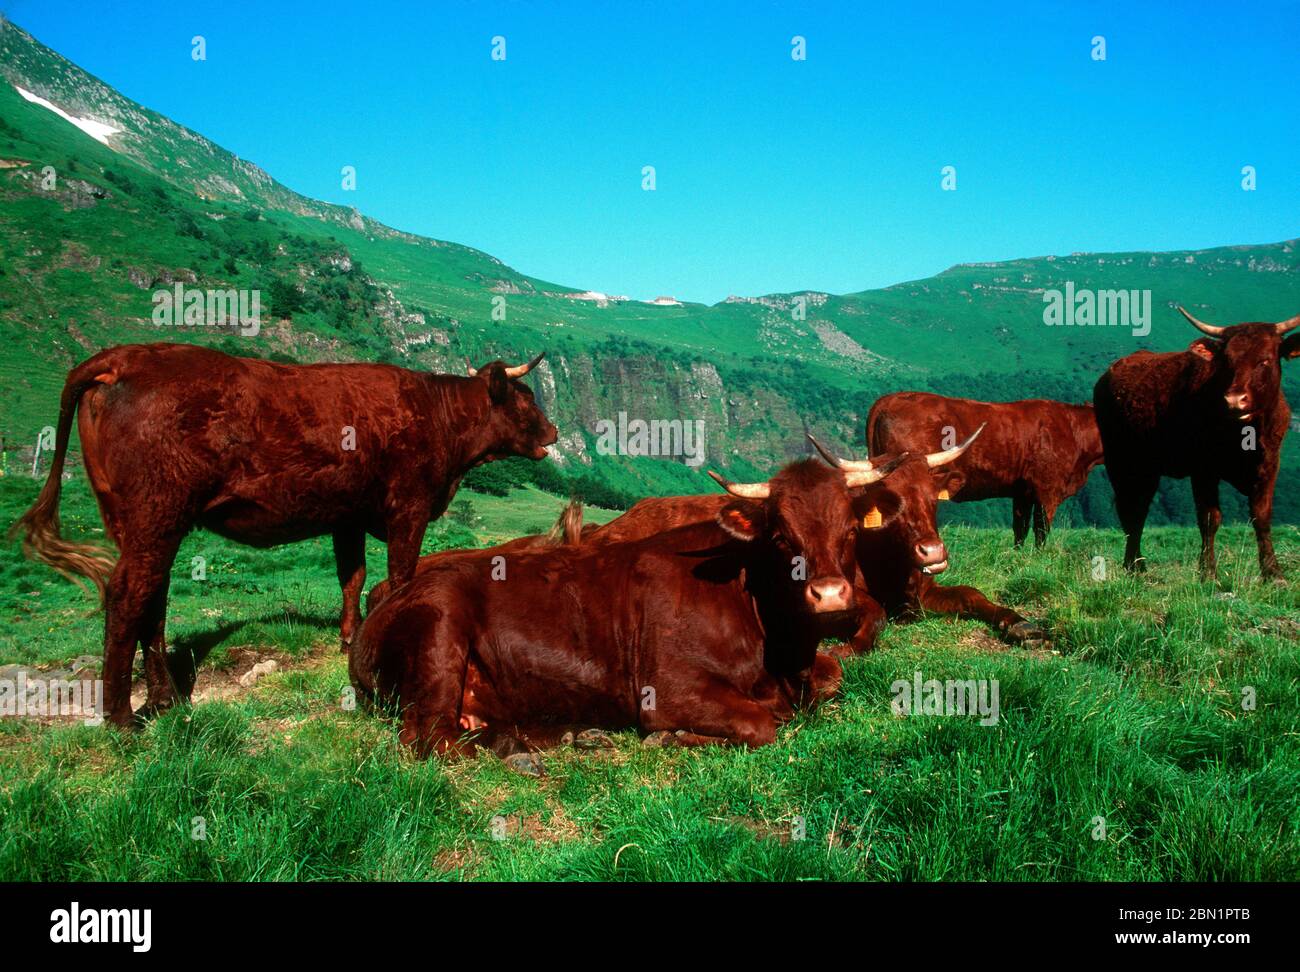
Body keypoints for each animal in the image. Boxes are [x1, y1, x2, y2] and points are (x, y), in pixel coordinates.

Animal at [10, 342, 557, 728]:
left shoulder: (347, 515)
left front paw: (348, 636)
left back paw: (165, 700)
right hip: (156, 515)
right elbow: (399, 577)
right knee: (129, 595)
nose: (554, 433)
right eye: (526, 398)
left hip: (135, 522)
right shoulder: (409, 508)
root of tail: (125, 356)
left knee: (153, 598)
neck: (438, 415)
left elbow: (352, 577)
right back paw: (123, 719)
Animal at [349, 457, 899, 762]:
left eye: (851, 529)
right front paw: (672, 738)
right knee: (428, 738)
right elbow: (760, 725)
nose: (830, 595)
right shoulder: (669, 687)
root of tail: (388, 597)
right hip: (441, 632)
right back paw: (518, 747)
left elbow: (835, 677)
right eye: (782, 537)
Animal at [1093, 307, 1300, 580]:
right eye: (1226, 361)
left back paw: (1137, 565)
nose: (1235, 400)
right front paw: (1208, 572)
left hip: (1148, 469)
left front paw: (1273, 573)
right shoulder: (1203, 470)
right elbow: (1209, 518)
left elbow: (1262, 517)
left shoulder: (1269, 465)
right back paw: (1134, 566)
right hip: (1122, 463)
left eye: (1264, 360)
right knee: (1132, 513)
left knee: (1139, 510)